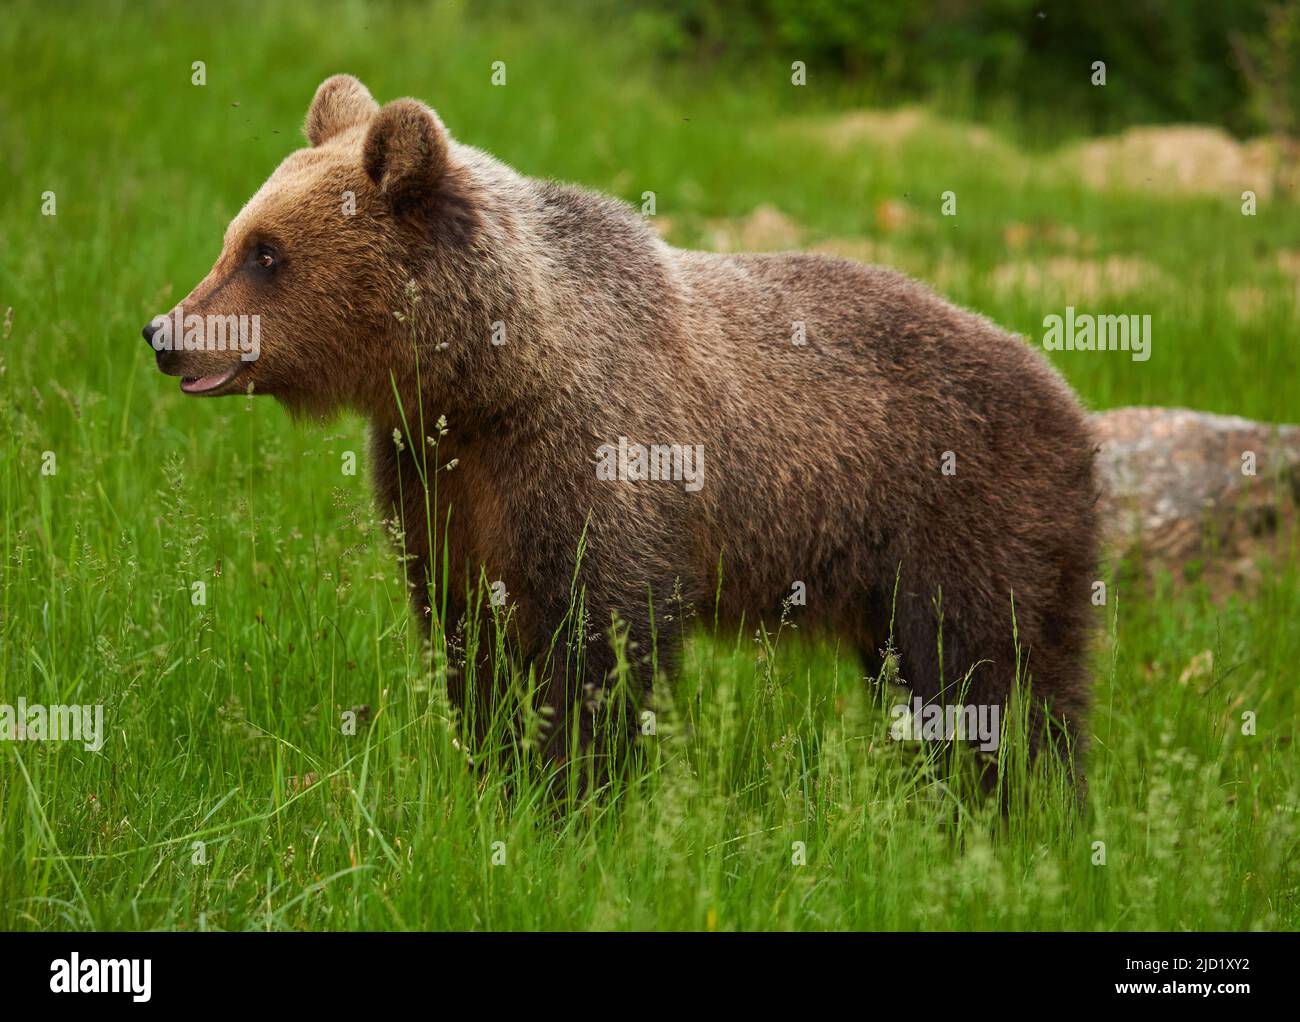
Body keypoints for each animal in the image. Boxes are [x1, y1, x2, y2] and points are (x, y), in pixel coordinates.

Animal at [144, 75, 1099, 781]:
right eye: (235, 238)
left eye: (267, 253)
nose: (165, 333)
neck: (493, 380)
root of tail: (1069, 398)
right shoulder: (440, 478)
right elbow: (470, 637)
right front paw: (495, 767)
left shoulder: (598, 458)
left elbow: (599, 647)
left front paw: (577, 790)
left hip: (966, 518)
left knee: (998, 682)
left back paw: (1023, 807)